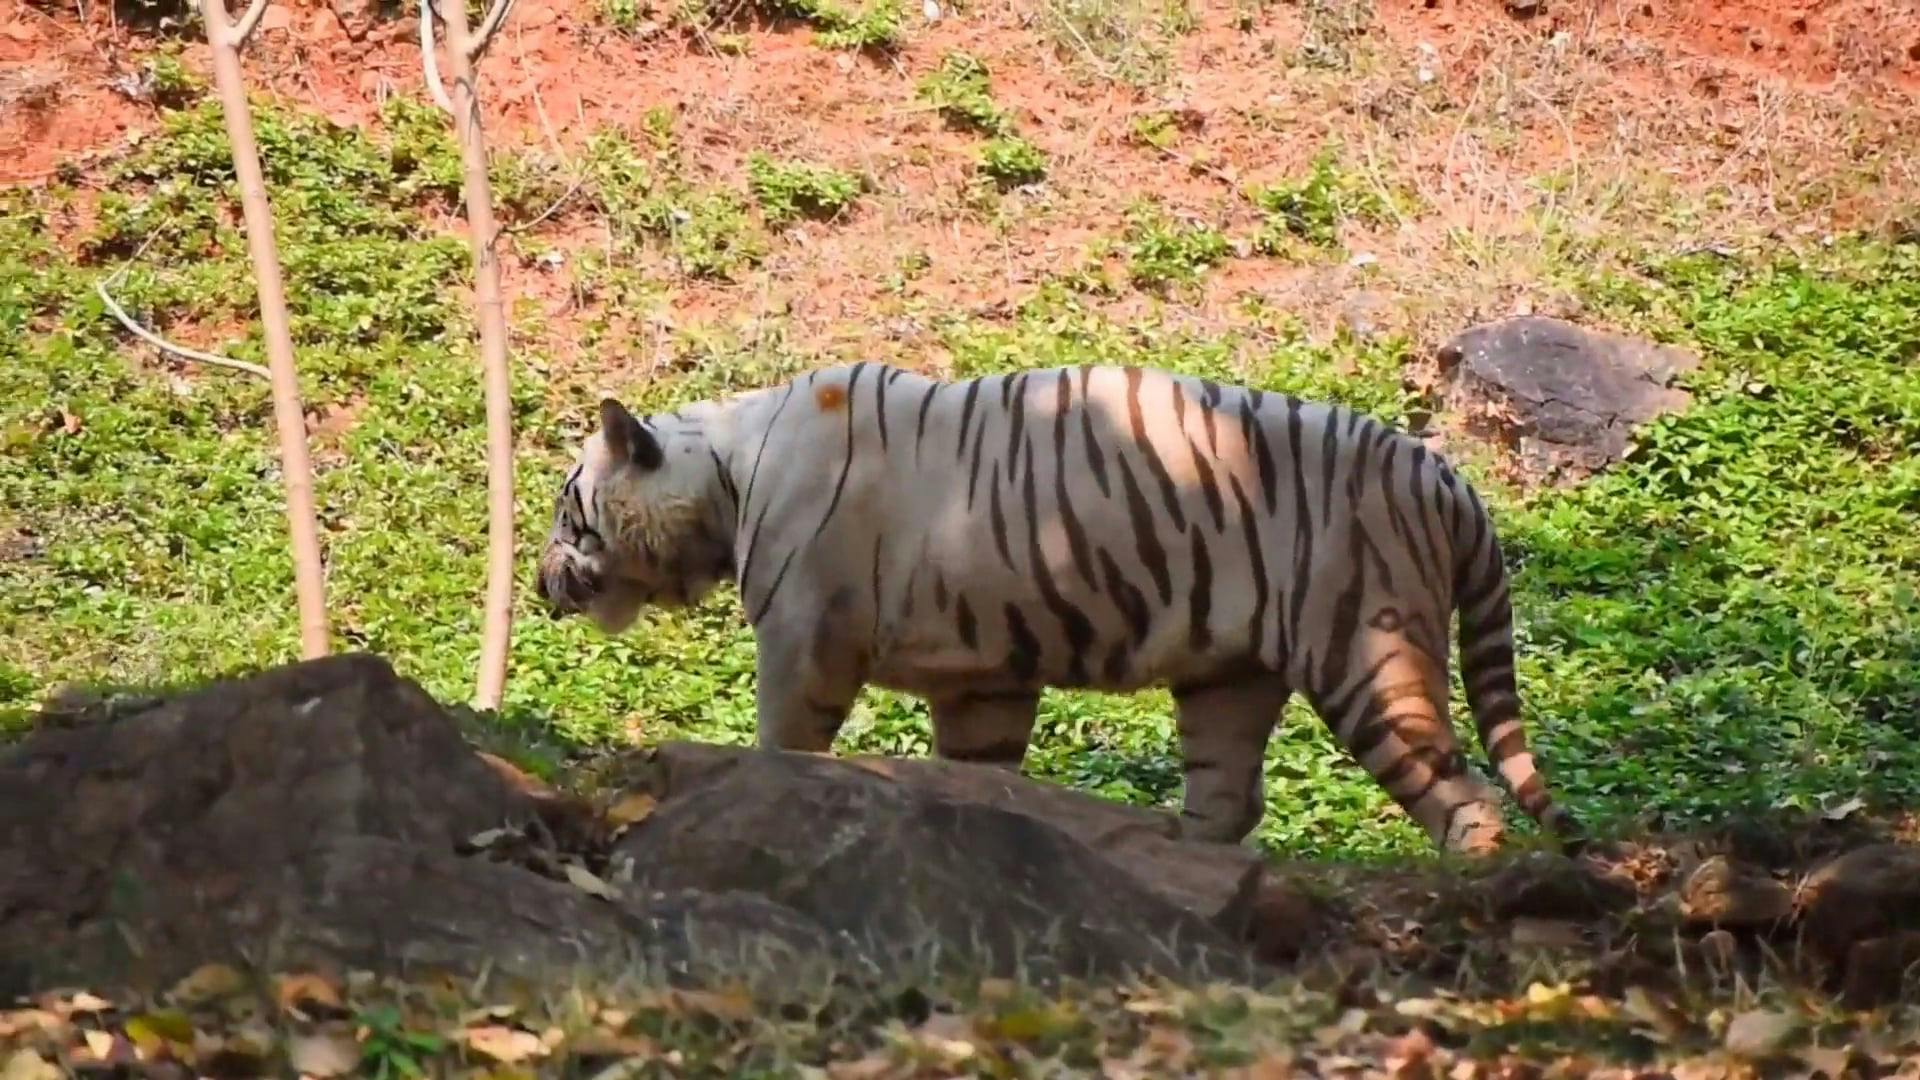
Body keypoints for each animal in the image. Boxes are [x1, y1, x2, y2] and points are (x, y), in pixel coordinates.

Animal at [535, 361, 1583, 856]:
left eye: (566, 509)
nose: (541, 587)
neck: (725, 471)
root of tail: (1449, 479)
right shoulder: (982, 680)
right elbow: (979, 770)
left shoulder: (803, 638)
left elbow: (783, 740)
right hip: (1230, 675)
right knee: (1230, 795)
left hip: (1366, 648)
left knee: (1464, 793)